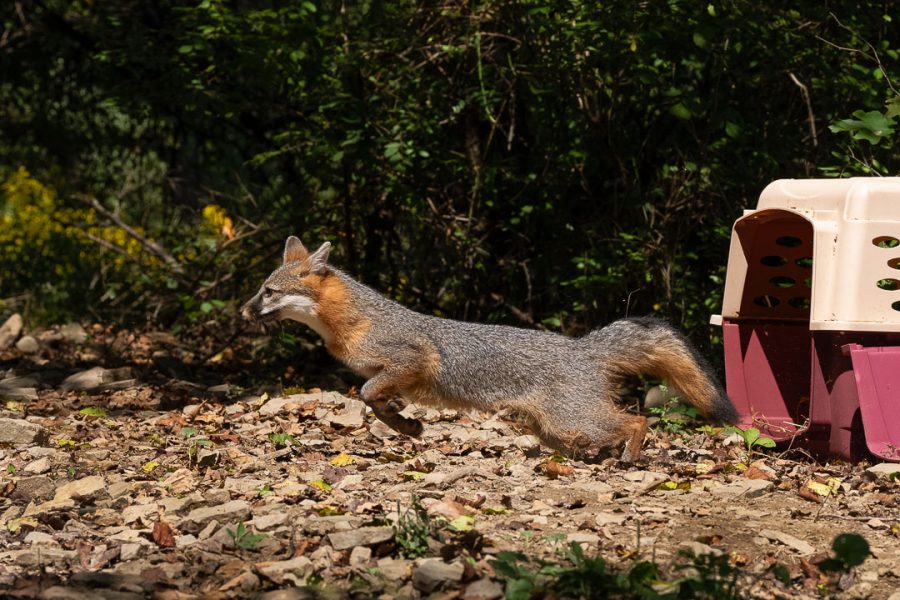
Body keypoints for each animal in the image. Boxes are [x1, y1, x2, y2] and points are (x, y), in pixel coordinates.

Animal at [241, 236, 737, 462]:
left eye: (268, 292)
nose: (243, 311)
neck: (355, 322)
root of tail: (583, 346)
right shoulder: (388, 374)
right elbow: (374, 399)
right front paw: (405, 424)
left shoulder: (413, 359)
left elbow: (367, 394)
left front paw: (404, 423)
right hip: (554, 428)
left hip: (572, 420)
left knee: (638, 420)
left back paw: (629, 455)